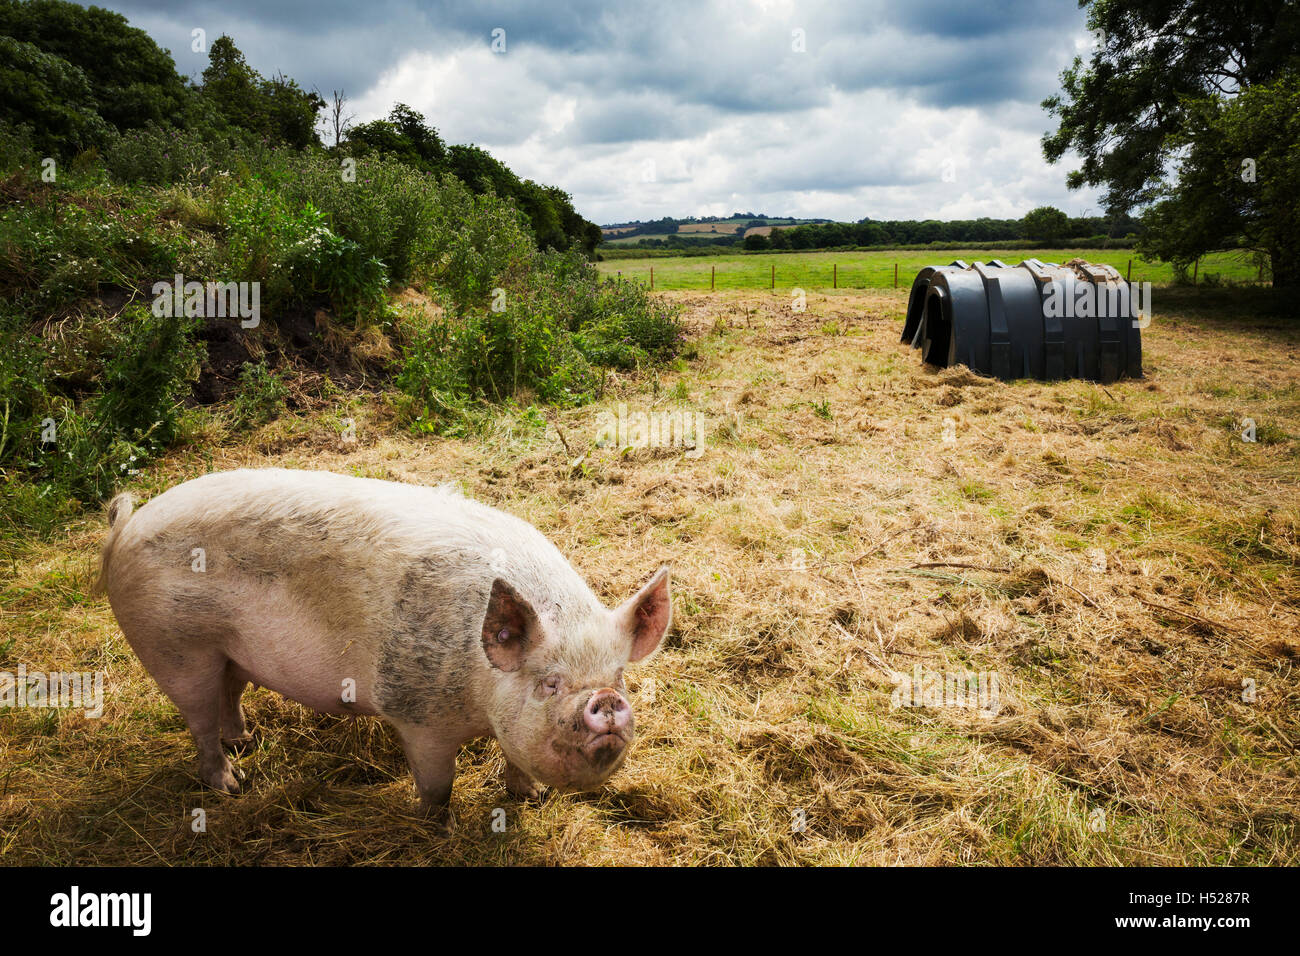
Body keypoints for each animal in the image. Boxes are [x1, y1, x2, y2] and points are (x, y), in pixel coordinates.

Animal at [96, 468, 671, 814]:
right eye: (549, 683)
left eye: (619, 676)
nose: (606, 700)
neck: (481, 694)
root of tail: (125, 530)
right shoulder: (416, 714)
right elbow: (438, 785)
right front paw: (434, 823)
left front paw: (530, 796)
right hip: (173, 648)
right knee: (198, 721)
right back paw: (231, 782)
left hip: (228, 651)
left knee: (229, 693)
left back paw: (247, 741)